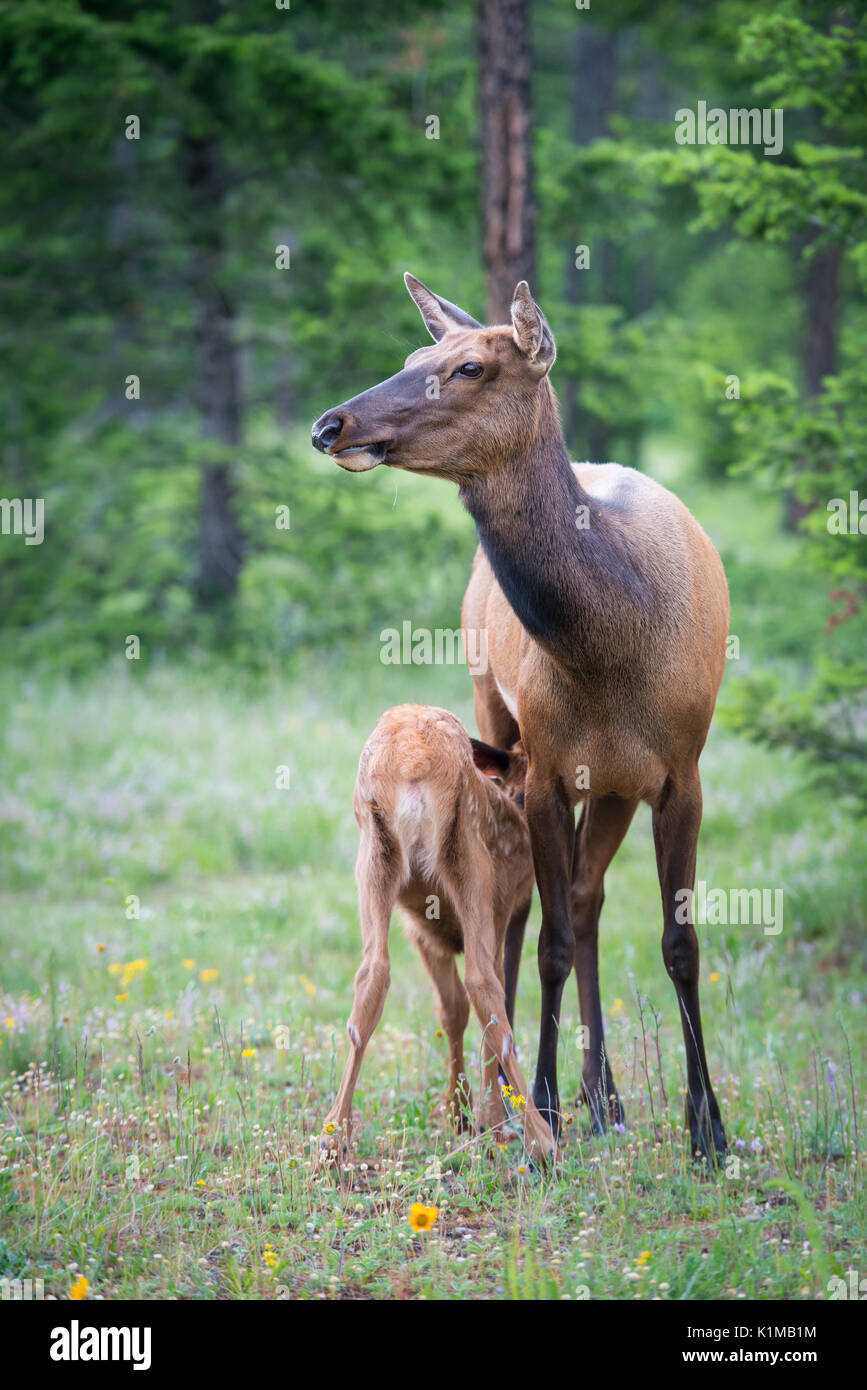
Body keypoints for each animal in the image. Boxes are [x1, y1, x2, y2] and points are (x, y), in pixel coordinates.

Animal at [317, 703, 557, 1164]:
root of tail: (415, 758)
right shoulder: (500, 907)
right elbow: (486, 999)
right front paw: (481, 1117)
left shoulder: (421, 932)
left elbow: (451, 1010)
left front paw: (458, 1111)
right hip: (472, 856)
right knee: (484, 984)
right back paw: (537, 1139)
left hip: (373, 857)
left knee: (373, 973)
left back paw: (333, 1138)